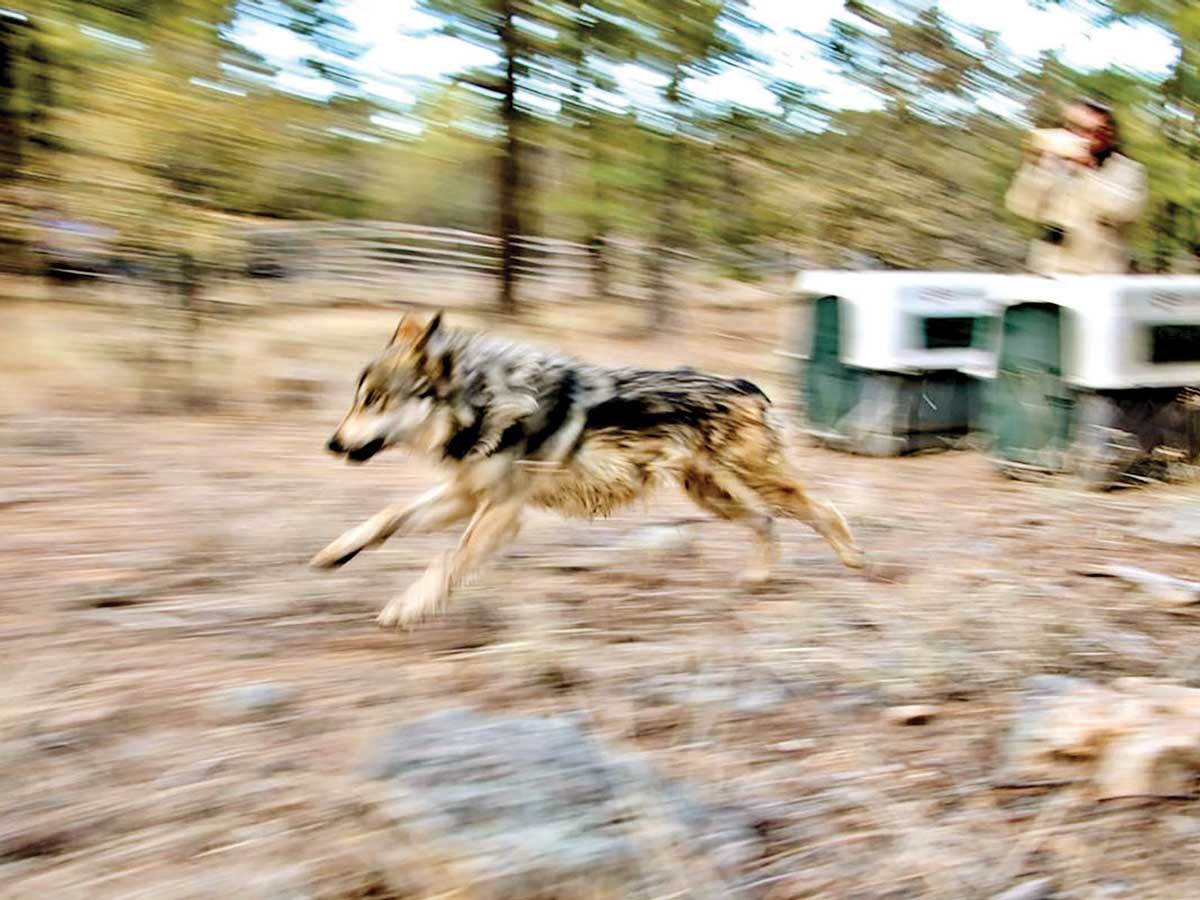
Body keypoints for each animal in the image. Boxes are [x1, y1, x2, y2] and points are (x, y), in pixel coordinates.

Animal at [313, 313, 865, 628]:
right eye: (359, 399)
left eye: (375, 400)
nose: (332, 443)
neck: (482, 403)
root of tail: (746, 384)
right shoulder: (466, 495)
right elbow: (387, 516)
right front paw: (335, 552)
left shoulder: (500, 512)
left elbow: (447, 562)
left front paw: (407, 608)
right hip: (712, 497)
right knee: (767, 525)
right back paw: (757, 578)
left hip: (760, 487)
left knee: (825, 509)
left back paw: (855, 561)